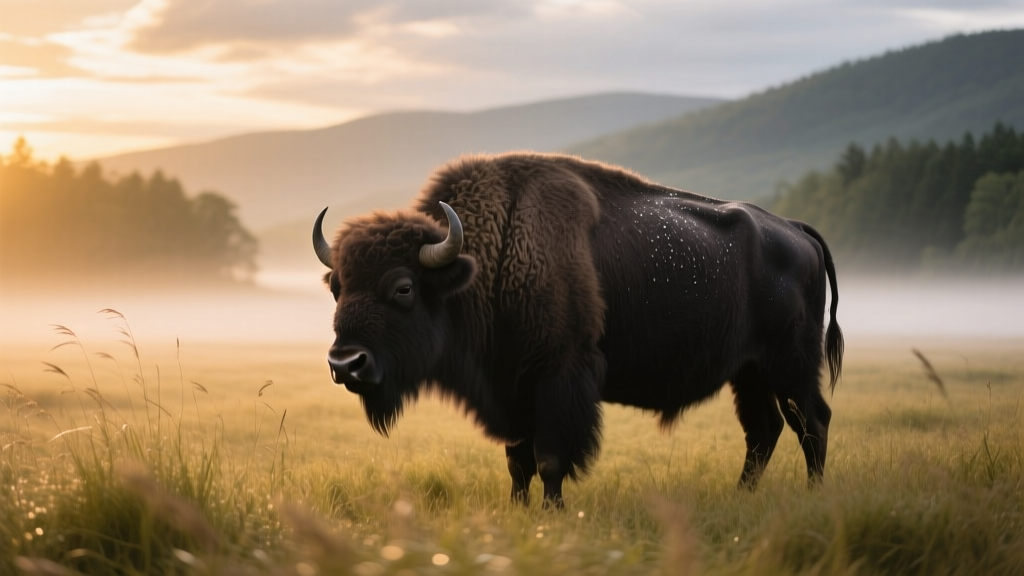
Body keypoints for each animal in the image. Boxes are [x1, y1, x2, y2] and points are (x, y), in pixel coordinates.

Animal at [313, 152, 843, 507]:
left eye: (402, 287)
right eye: (337, 287)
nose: (345, 363)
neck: (492, 256)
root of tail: (795, 229)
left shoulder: (558, 378)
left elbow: (549, 457)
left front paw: (553, 513)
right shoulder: (512, 389)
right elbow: (517, 460)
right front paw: (519, 510)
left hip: (790, 363)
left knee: (811, 420)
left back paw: (814, 493)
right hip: (749, 371)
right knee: (764, 430)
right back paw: (742, 495)